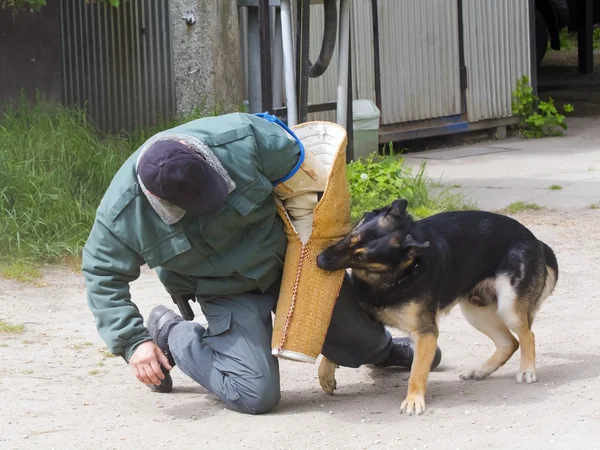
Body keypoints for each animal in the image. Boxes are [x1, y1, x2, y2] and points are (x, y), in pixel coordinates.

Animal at [316, 199, 560, 416]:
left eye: (361, 256)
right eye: (350, 236)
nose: (319, 259)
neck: (395, 276)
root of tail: (535, 240)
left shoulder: (426, 334)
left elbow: (416, 372)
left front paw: (413, 400)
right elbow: (340, 338)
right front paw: (327, 371)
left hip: (509, 309)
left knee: (527, 337)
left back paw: (527, 370)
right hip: (476, 313)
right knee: (509, 343)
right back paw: (480, 371)